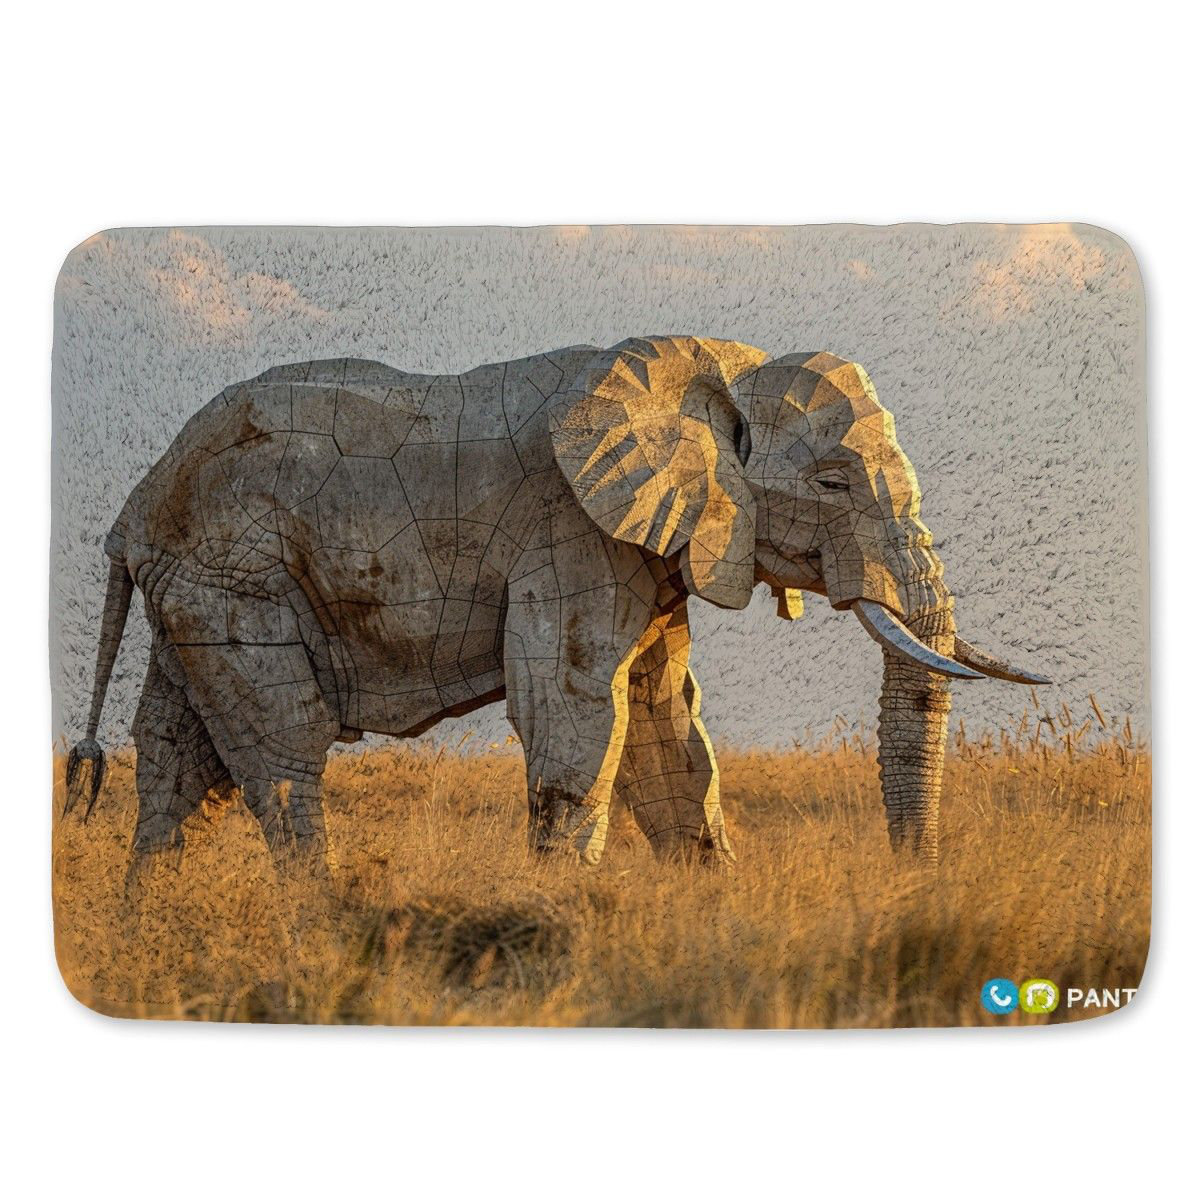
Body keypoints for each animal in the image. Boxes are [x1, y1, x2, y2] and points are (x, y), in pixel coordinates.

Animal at [65, 335, 1046, 878]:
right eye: (834, 483)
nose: (913, 881)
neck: (715, 373)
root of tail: (131, 509)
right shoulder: (572, 532)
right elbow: (577, 709)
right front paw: (562, 918)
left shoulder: (655, 545)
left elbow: (666, 727)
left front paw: (714, 906)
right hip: (235, 578)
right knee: (280, 755)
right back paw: (324, 929)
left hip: (200, 585)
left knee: (179, 766)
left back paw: (148, 927)